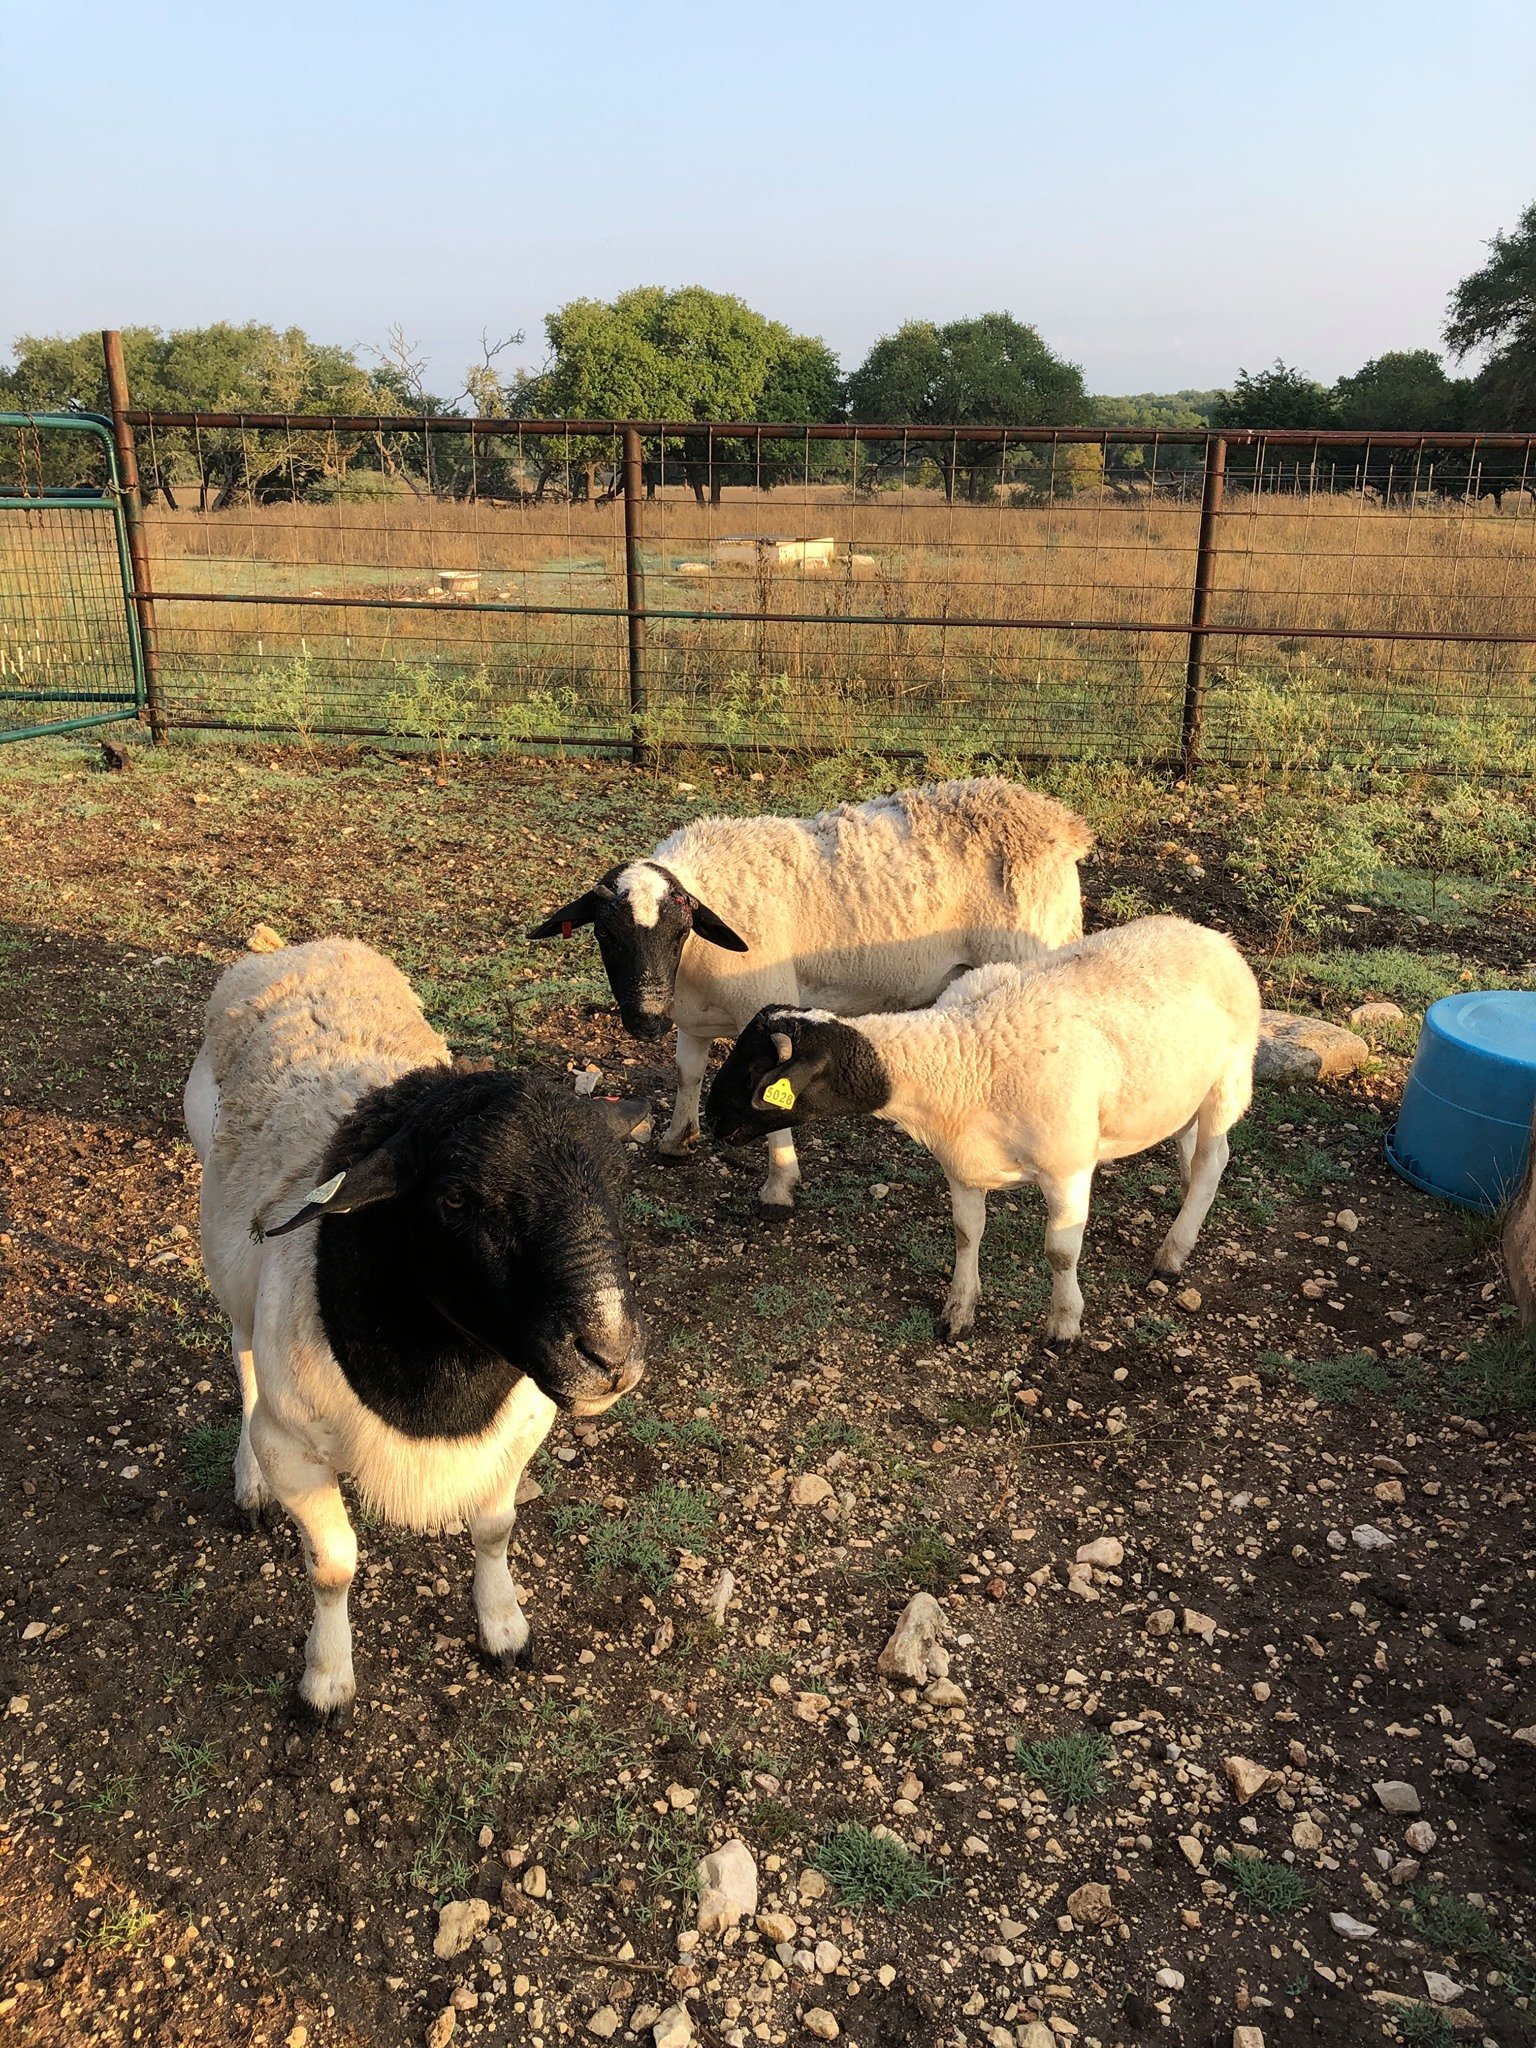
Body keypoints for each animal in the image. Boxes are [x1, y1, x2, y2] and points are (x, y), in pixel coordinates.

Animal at [184, 937, 644, 1721]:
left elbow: (493, 1528)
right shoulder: (296, 1452)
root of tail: (307, 946)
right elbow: (333, 1567)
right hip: (231, 1268)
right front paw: (326, 1683)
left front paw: (503, 1629)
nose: (610, 1358)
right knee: (243, 1361)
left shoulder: (522, 1427)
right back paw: (248, 1485)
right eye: (456, 1198)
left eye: (616, 1182)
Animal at [529, 777, 1092, 1211]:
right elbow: (687, 1074)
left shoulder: (764, 1000)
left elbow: (768, 1097)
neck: (692, 960)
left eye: (678, 930)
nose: (645, 1020)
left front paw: (778, 1187)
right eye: (606, 934)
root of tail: (1060, 823)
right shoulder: (691, 1017)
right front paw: (676, 1140)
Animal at [705, 916, 1260, 1344]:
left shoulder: (1067, 1167)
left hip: (1229, 1077)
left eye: (753, 1073)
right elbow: (966, 1233)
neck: (962, 1051)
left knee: (1213, 1159)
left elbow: (1060, 1251)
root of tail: (1210, 936)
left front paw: (1063, 1325)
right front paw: (958, 1313)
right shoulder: (961, 1165)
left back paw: (1173, 1252)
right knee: (1189, 1146)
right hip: (1182, 1089)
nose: (711, 1121)